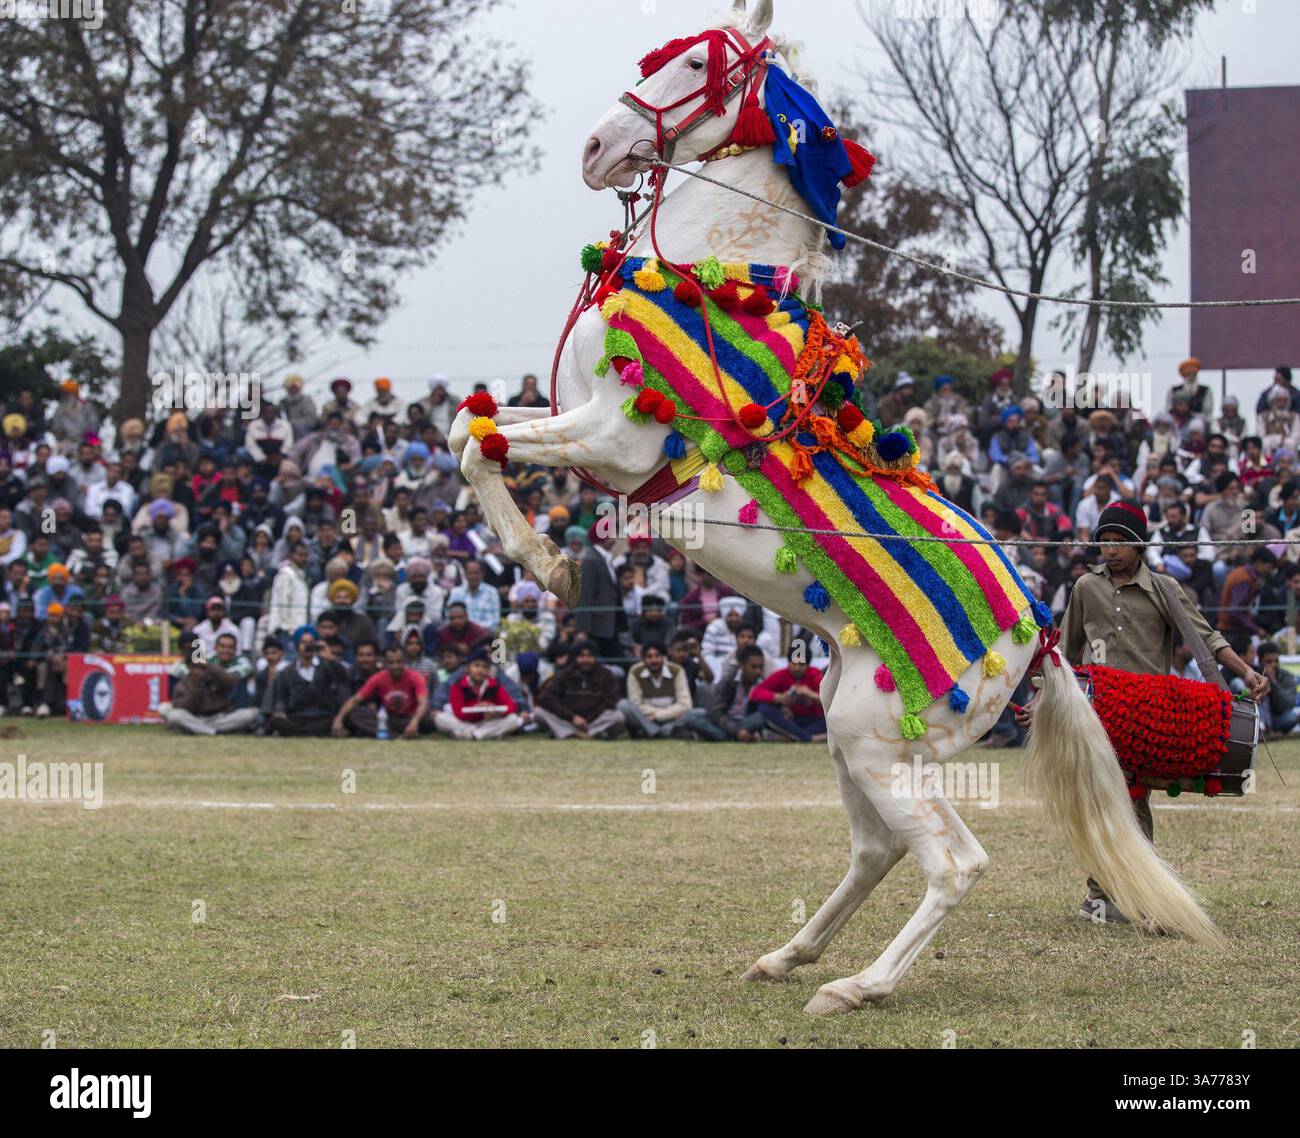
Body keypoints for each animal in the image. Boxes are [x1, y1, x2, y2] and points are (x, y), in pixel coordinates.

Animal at [449, 0, 1222, 1015]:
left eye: (692, 64)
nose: (596, 147)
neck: (707, 281)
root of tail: (1042, 639)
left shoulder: (617, 441)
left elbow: (475, 449)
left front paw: (552, 568)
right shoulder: (570, 419)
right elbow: (468, 429)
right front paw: (551, 561)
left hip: (876, 741)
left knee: (953, 864)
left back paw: (856, 986)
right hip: (853, 725)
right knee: (881, 847)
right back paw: (789, 956)